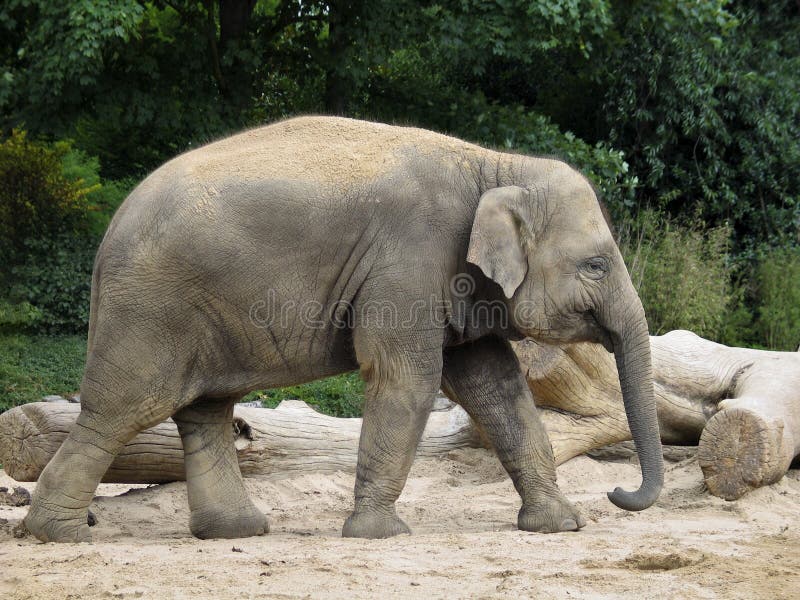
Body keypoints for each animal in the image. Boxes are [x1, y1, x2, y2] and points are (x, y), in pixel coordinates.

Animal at [24, 116, 663, 543]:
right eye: (596, 265)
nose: (619, 493)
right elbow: (408, 380)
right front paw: (379, 534)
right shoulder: (408, 262)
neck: (493, 164)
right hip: (149, 310)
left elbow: (496, 386)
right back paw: (59, 534)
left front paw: (560, 525)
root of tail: (108, 231)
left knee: (204, 410)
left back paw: (238, 530)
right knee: (122, 409)